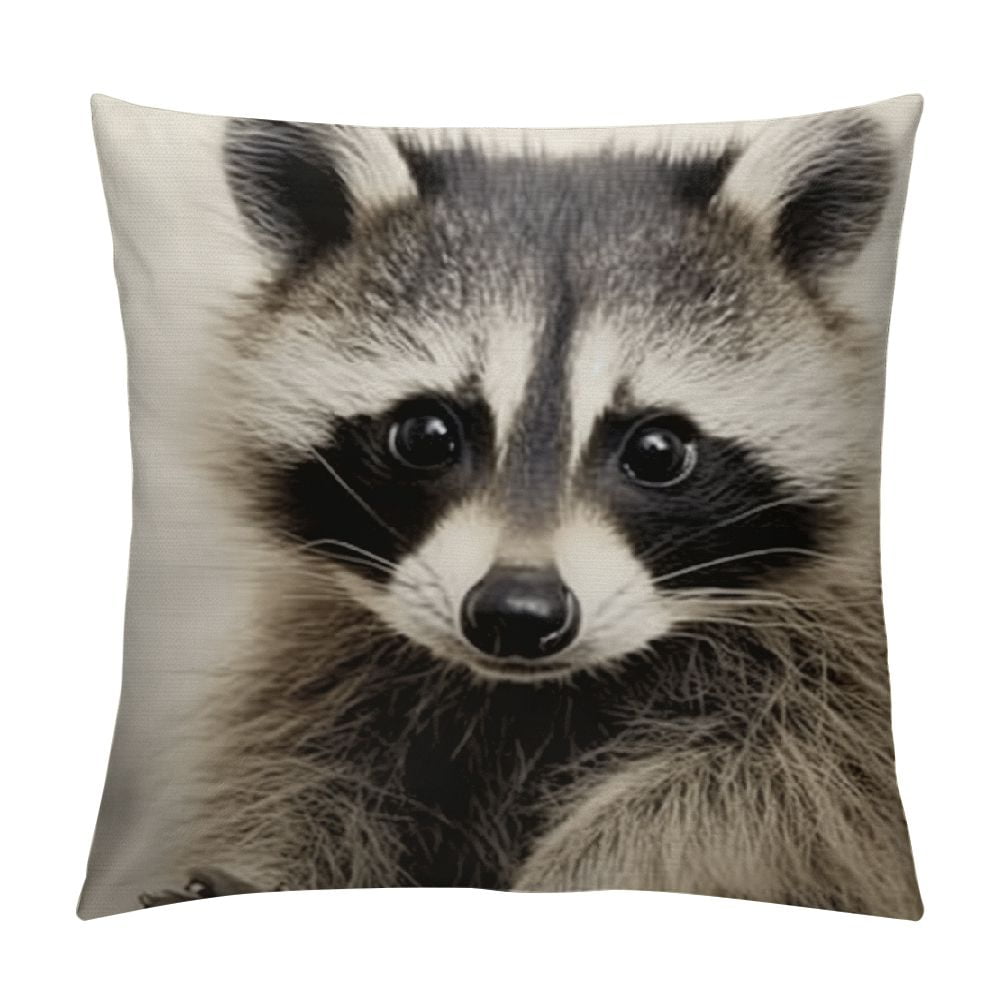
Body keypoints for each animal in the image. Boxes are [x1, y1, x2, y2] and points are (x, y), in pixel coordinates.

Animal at [142, 108, 921, 917]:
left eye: (657, 450)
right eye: (427, 435)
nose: (517, 612)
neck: (536, 696)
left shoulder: (831, 680)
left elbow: (768, 795)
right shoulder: (328, 661)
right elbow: (305, 772)